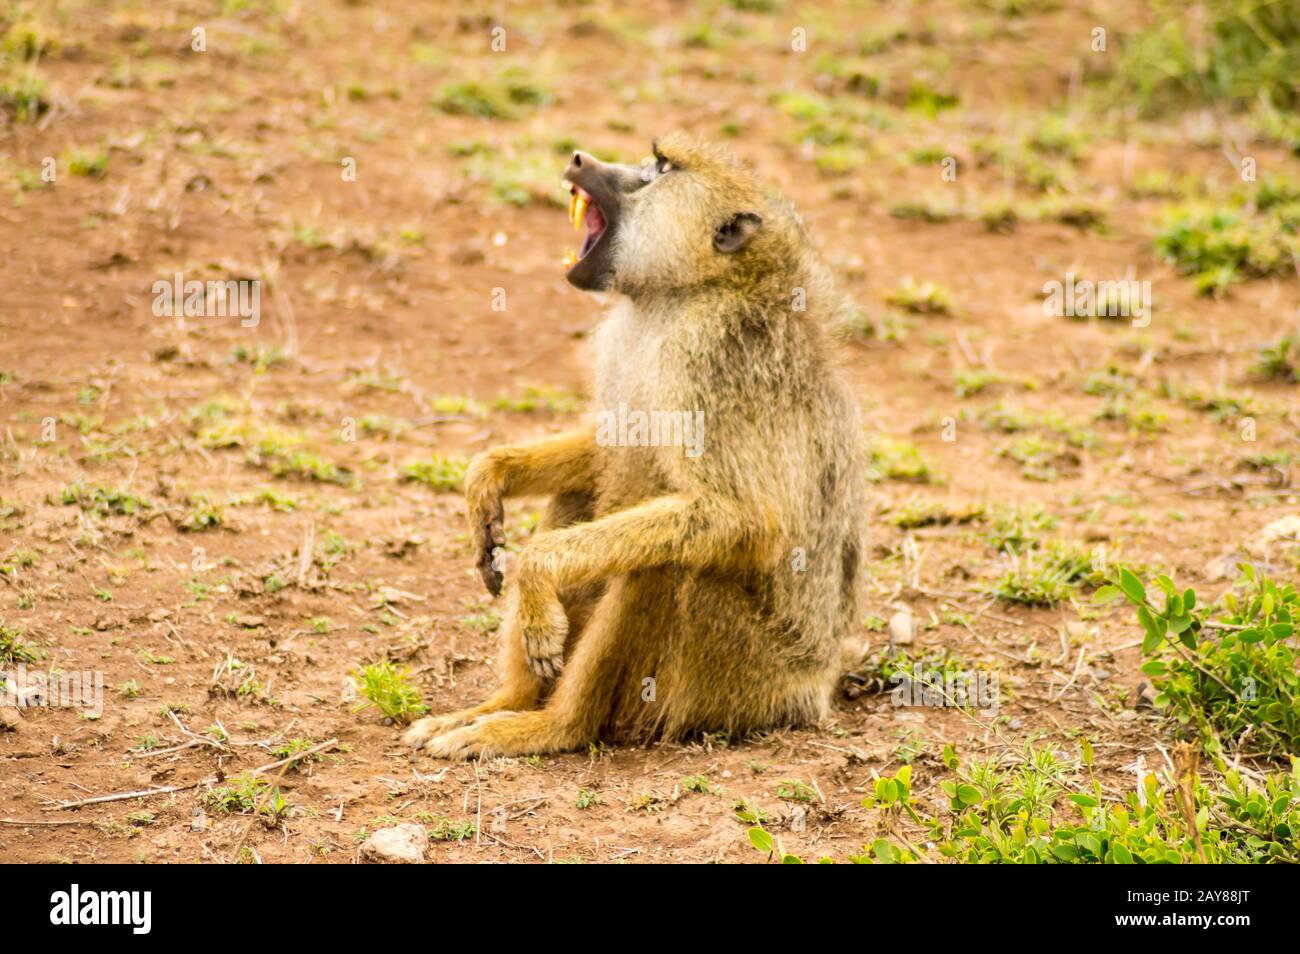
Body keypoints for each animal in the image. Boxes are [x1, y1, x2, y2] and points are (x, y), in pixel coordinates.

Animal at [403, 132, 864, 759]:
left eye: (660, 167)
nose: (580, 159)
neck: (682, 293)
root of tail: (814, 685)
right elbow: (609, 448)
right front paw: (489, 478)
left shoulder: (708, 357)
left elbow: (742, 517)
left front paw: (535, 567)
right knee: (581, 498)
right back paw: (504, 704)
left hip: (733, 678)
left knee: (664, 562)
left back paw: (550, 726)